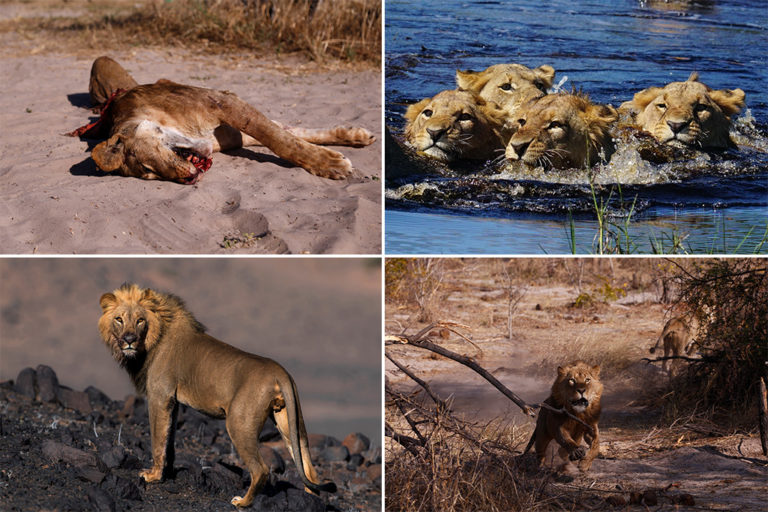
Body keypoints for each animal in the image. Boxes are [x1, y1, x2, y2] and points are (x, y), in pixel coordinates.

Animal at [70, 56, 375, 184]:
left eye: (146, 165)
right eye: (149, 174)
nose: (188, 178)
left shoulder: (227, 102)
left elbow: (283, 140)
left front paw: (330, 163)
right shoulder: (236, 134)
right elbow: (291, 134)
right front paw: (349, 141)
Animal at [98, 284, 336, 508]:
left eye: (140, 320)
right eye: (119, 319)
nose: (129, 339)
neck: (153, 339)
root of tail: (280, 372)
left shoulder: (159, 396)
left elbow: (158, 440)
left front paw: (153, 476)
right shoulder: (172, 402)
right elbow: (169, 440)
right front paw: (169, 471)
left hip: (239, 423)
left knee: (261, 469)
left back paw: (242, 502)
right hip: (289, 421)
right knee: (309, 468)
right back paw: (310, 500)